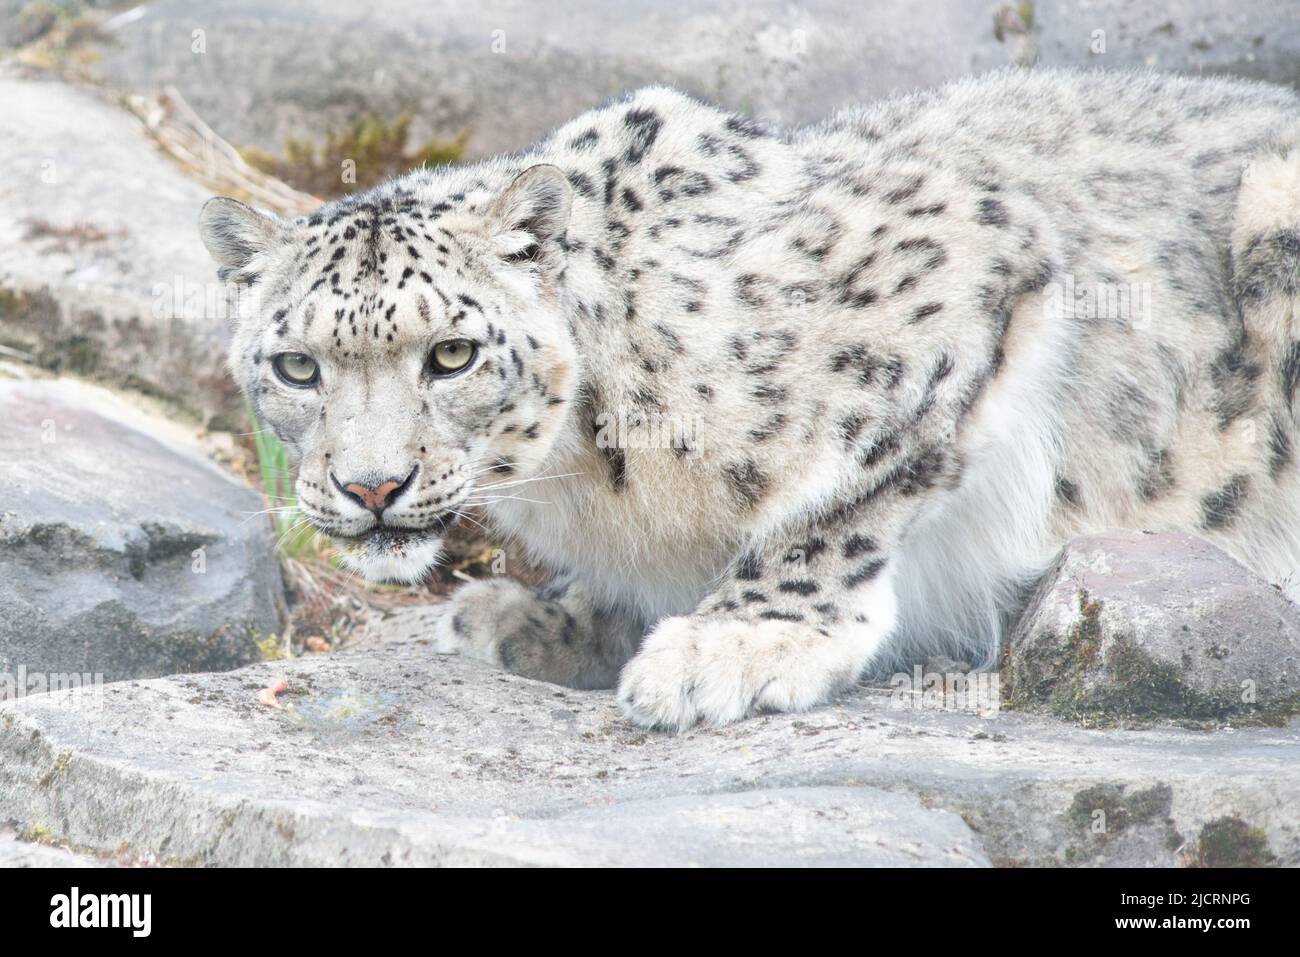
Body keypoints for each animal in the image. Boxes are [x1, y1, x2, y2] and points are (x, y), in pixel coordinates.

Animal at [199, 68, 1300, 731]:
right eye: (296, 367)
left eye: (453, 354)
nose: (372, 487)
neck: (583, 481)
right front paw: (540, 620)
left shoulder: (958, 252)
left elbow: (840, 497)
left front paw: (728, 644)